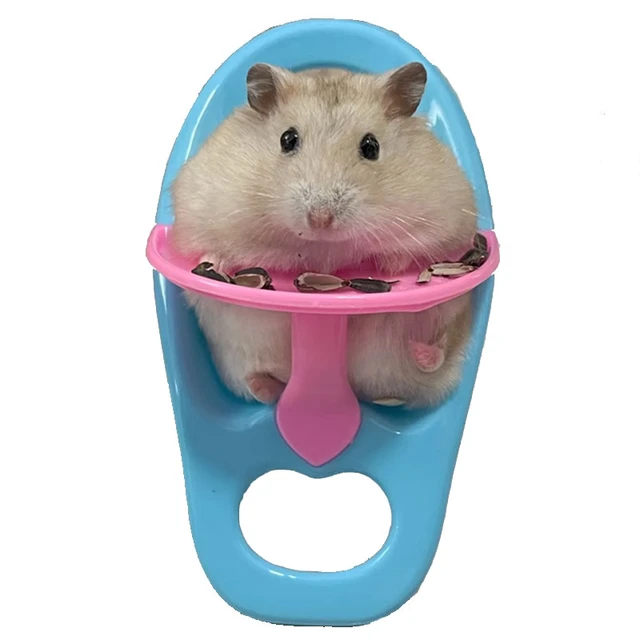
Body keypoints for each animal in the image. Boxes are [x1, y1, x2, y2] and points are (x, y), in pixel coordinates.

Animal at [171, 63, 477, 408]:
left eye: (371, 146)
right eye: (287, 139)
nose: (320, 219)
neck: (321, 247)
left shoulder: (449, 216)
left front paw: (389, 264)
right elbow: (209, 247)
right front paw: (215, 264)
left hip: (444, 318)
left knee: (436, 358)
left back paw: (422, 353)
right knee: (264, 390)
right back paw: (263, 384)